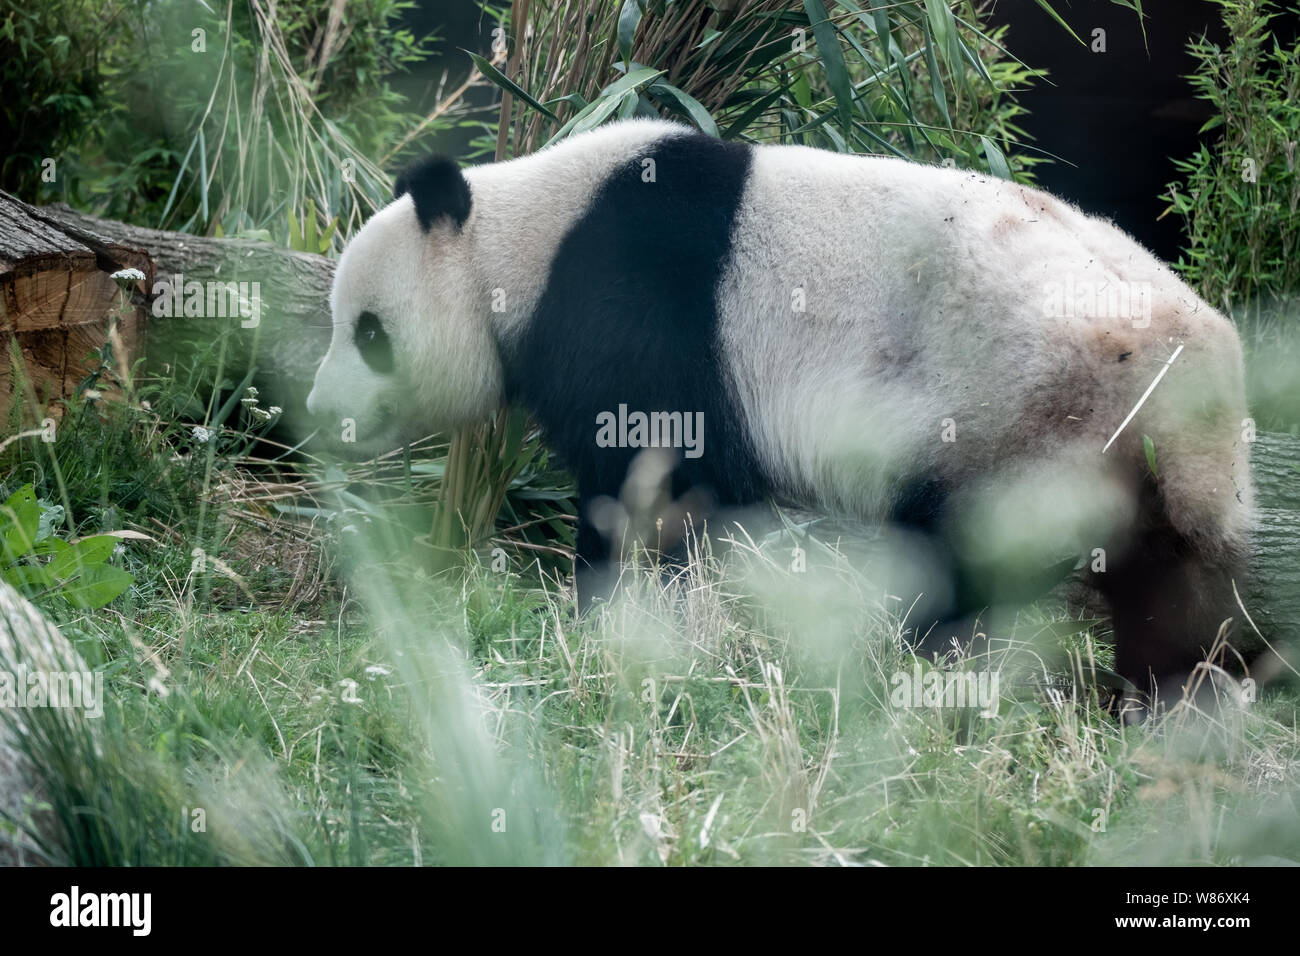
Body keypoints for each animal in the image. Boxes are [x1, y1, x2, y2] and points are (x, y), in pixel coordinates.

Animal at [306, 118, 1253, 702]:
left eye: (369, 332)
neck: (520, 242)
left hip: (1030, 406)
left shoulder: (631, 301)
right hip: (1132, 462)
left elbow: (651, 476)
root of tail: (1199, 387)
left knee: (972, 546)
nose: (321, 411)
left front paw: (610, 617)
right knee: (1163, 579)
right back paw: (1161, 690)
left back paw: (921, 658)